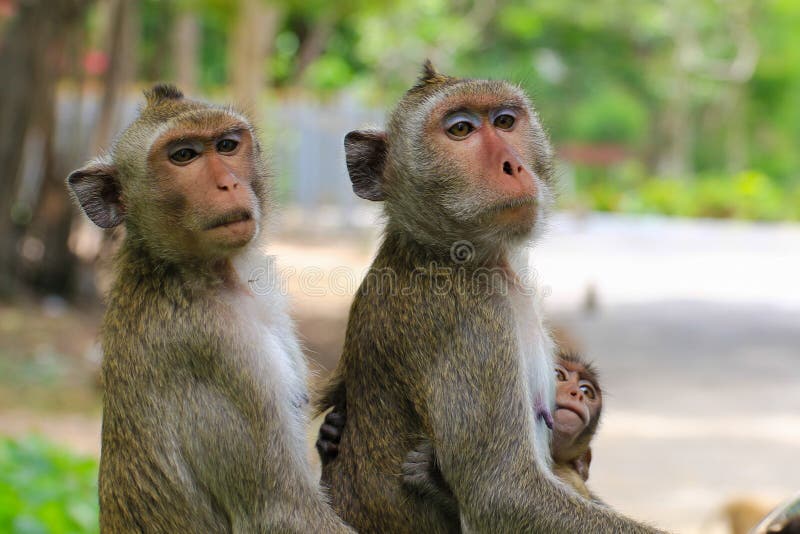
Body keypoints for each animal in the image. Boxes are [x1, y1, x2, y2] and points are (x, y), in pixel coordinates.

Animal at [67, 84, 353, 533]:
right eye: (184, 155)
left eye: (226, 145)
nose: (228, 184)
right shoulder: (218, 351)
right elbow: (279, 511)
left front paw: (330, 436)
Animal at [317, 350, 605, 505]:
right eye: (559, 375)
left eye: (586, 391)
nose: (576, 394)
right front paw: (330, 434)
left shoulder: (568, 477)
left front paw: (432, 480)